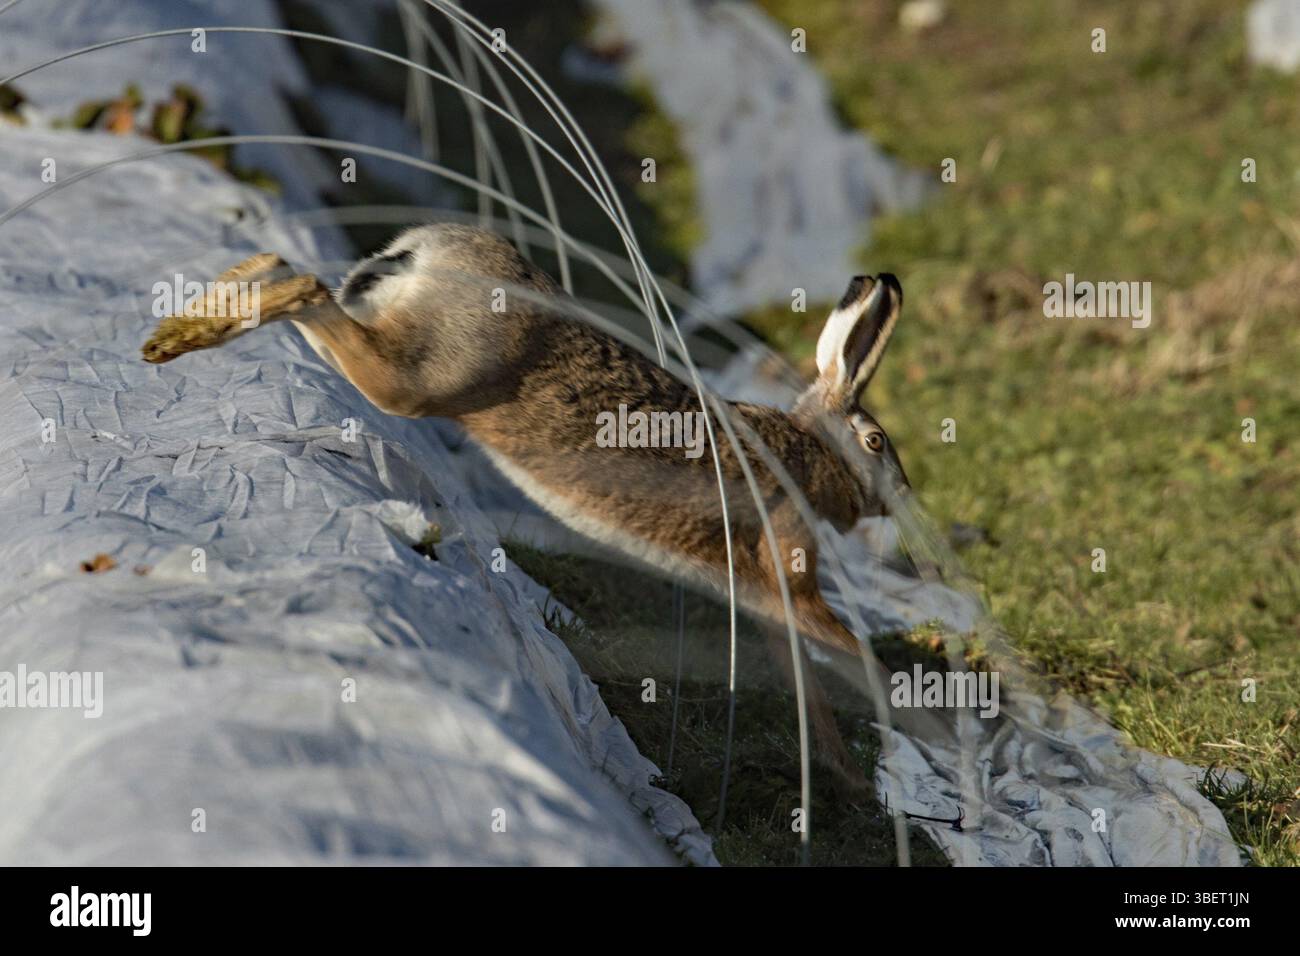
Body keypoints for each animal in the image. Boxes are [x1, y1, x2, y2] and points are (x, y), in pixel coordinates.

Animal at [142, 223, 911, 793]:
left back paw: (180, 328)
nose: (902, 500)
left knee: (288, 266)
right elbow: (849, 651)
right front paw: (894, 731)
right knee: (307, 288)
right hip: (414, 380)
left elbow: (803, 677)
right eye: (877, 442)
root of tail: (429, 248)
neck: (808, 451)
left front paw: (842, 777)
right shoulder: (787, 575)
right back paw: (182, 338)